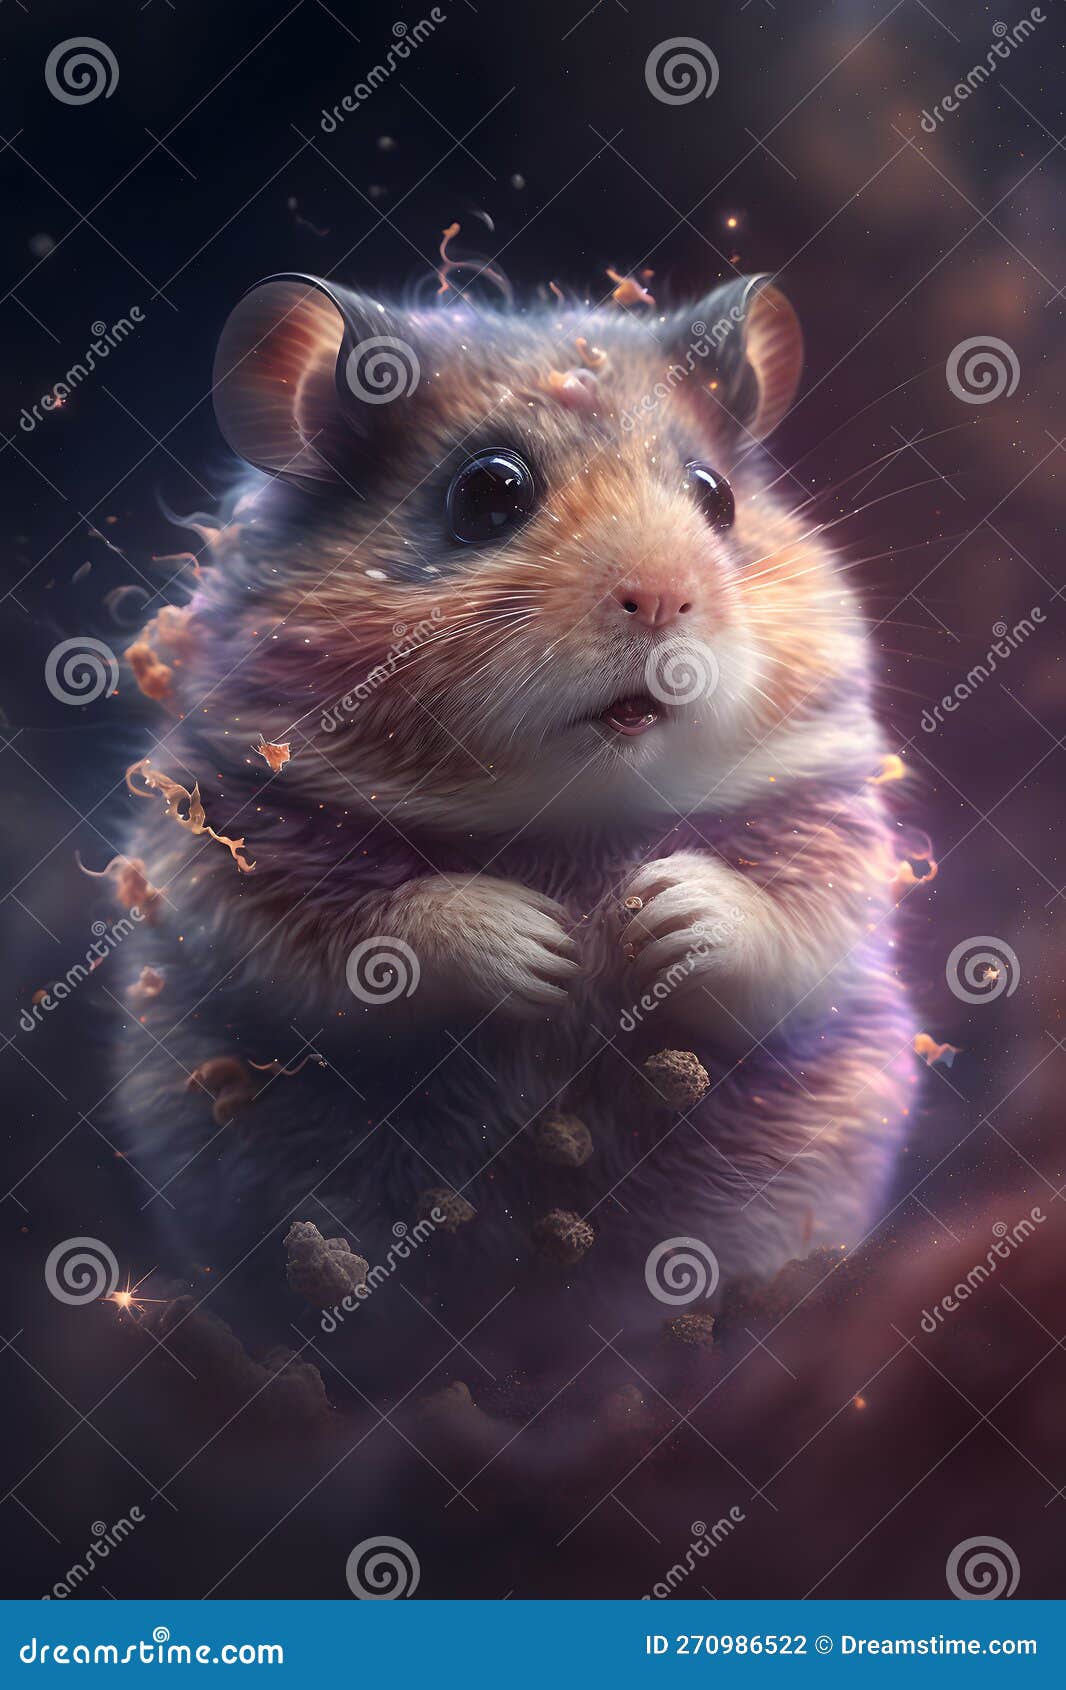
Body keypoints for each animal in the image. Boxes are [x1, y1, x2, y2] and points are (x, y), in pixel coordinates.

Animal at [113, 271, 914, 1362]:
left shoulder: (829, 820)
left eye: (716, 496)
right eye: (488, 492)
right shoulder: (231, 839)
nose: (663, 597)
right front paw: (546, 949)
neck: (570, 816)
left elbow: (788, 927)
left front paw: (659, 909)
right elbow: (364, 939)